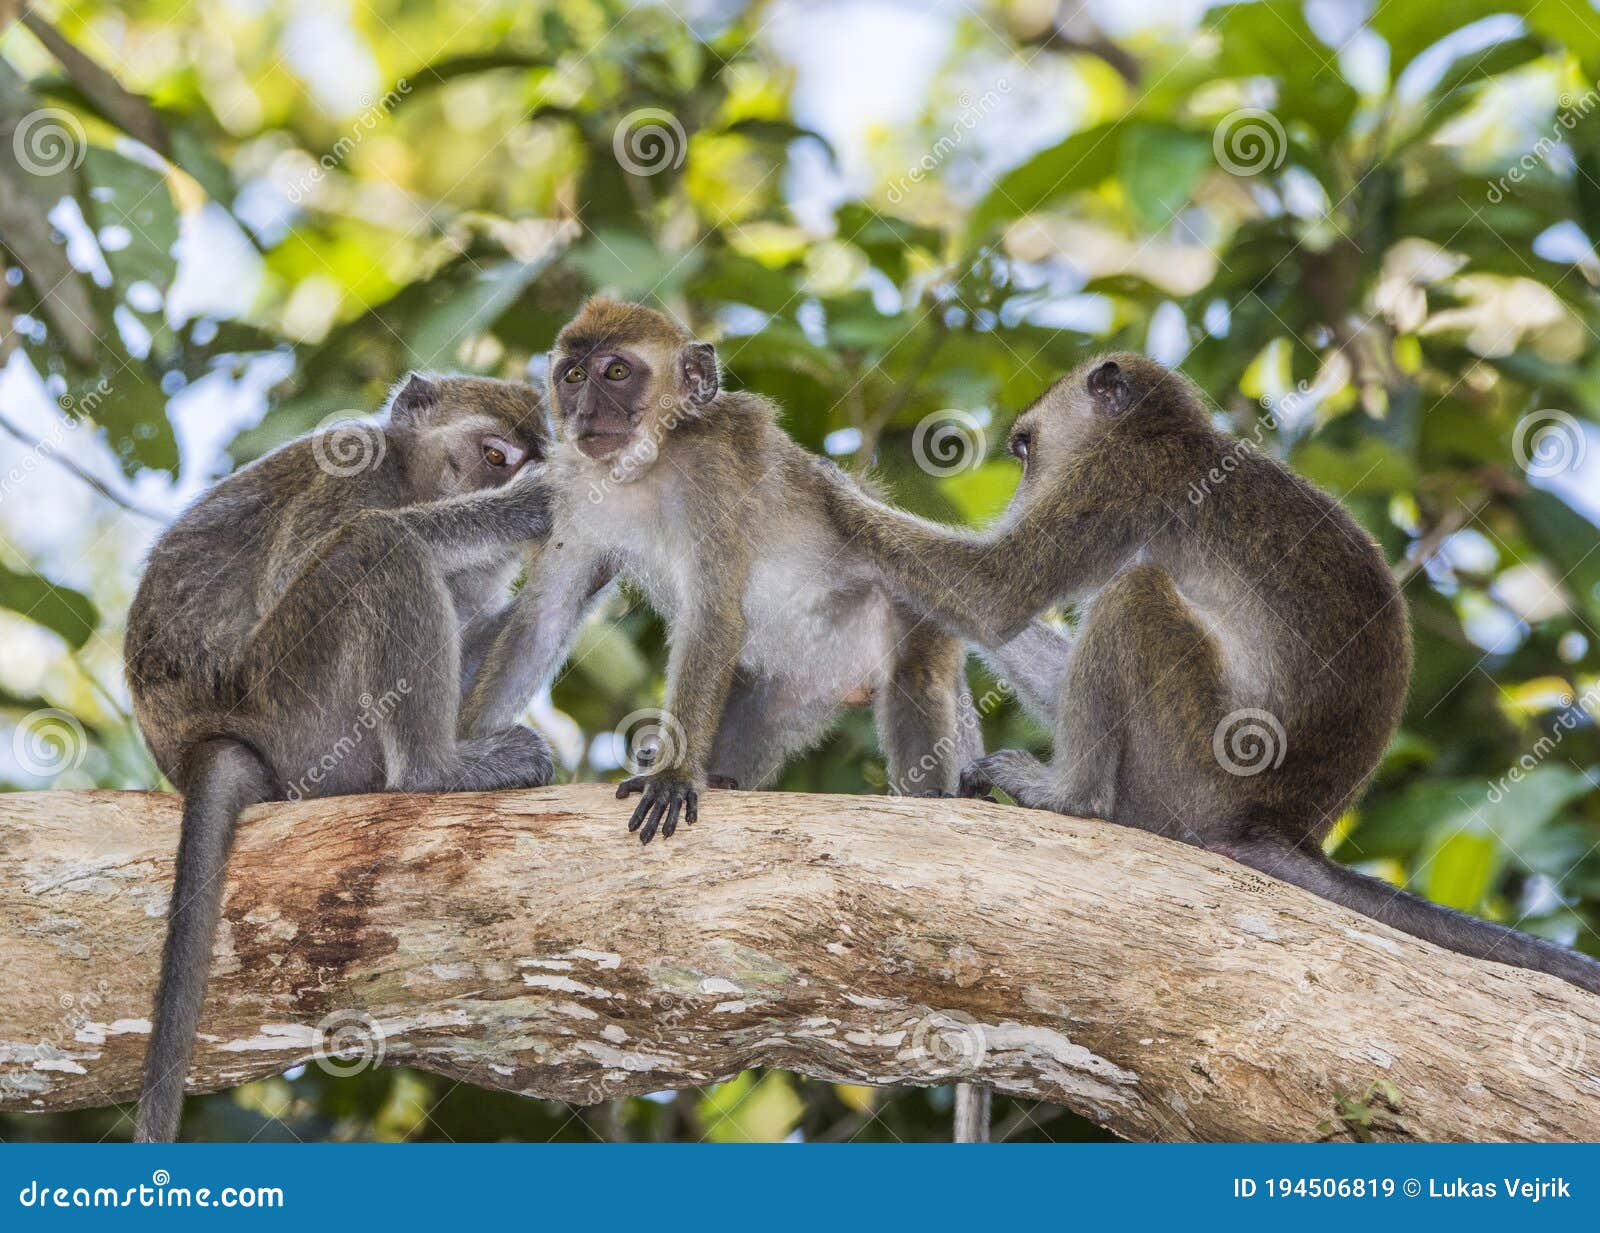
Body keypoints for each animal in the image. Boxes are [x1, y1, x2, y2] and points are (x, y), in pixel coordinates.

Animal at [123, 373, 556, 1141]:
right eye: (495, 455)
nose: (512, 479)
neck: (411, 477)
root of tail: (201, 745)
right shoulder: (353, 477)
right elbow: (322, 556)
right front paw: (519, 507)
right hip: (296, 707)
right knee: (378, 544)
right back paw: (437, 772)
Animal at [459, 296, 981, 844]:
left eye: (617, 371)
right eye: (574, 376)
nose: (584, 411)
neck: (650, 464)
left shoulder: (712, 474)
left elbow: (714, 615)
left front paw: (671, 775)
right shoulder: (576, 489)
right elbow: (545, 617)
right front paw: (460, 757)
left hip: (909, 609)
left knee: (917, 678)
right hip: (787, 689)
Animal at [811, 352, 1600, 997]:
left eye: (1025, 449)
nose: (1017, 496)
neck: (1168, 436)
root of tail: (1277, 823)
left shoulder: (1115, 483)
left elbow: (996, 593)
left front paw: (828, 490)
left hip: (1186, 772)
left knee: (1135, 597)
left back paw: (1072, 797)